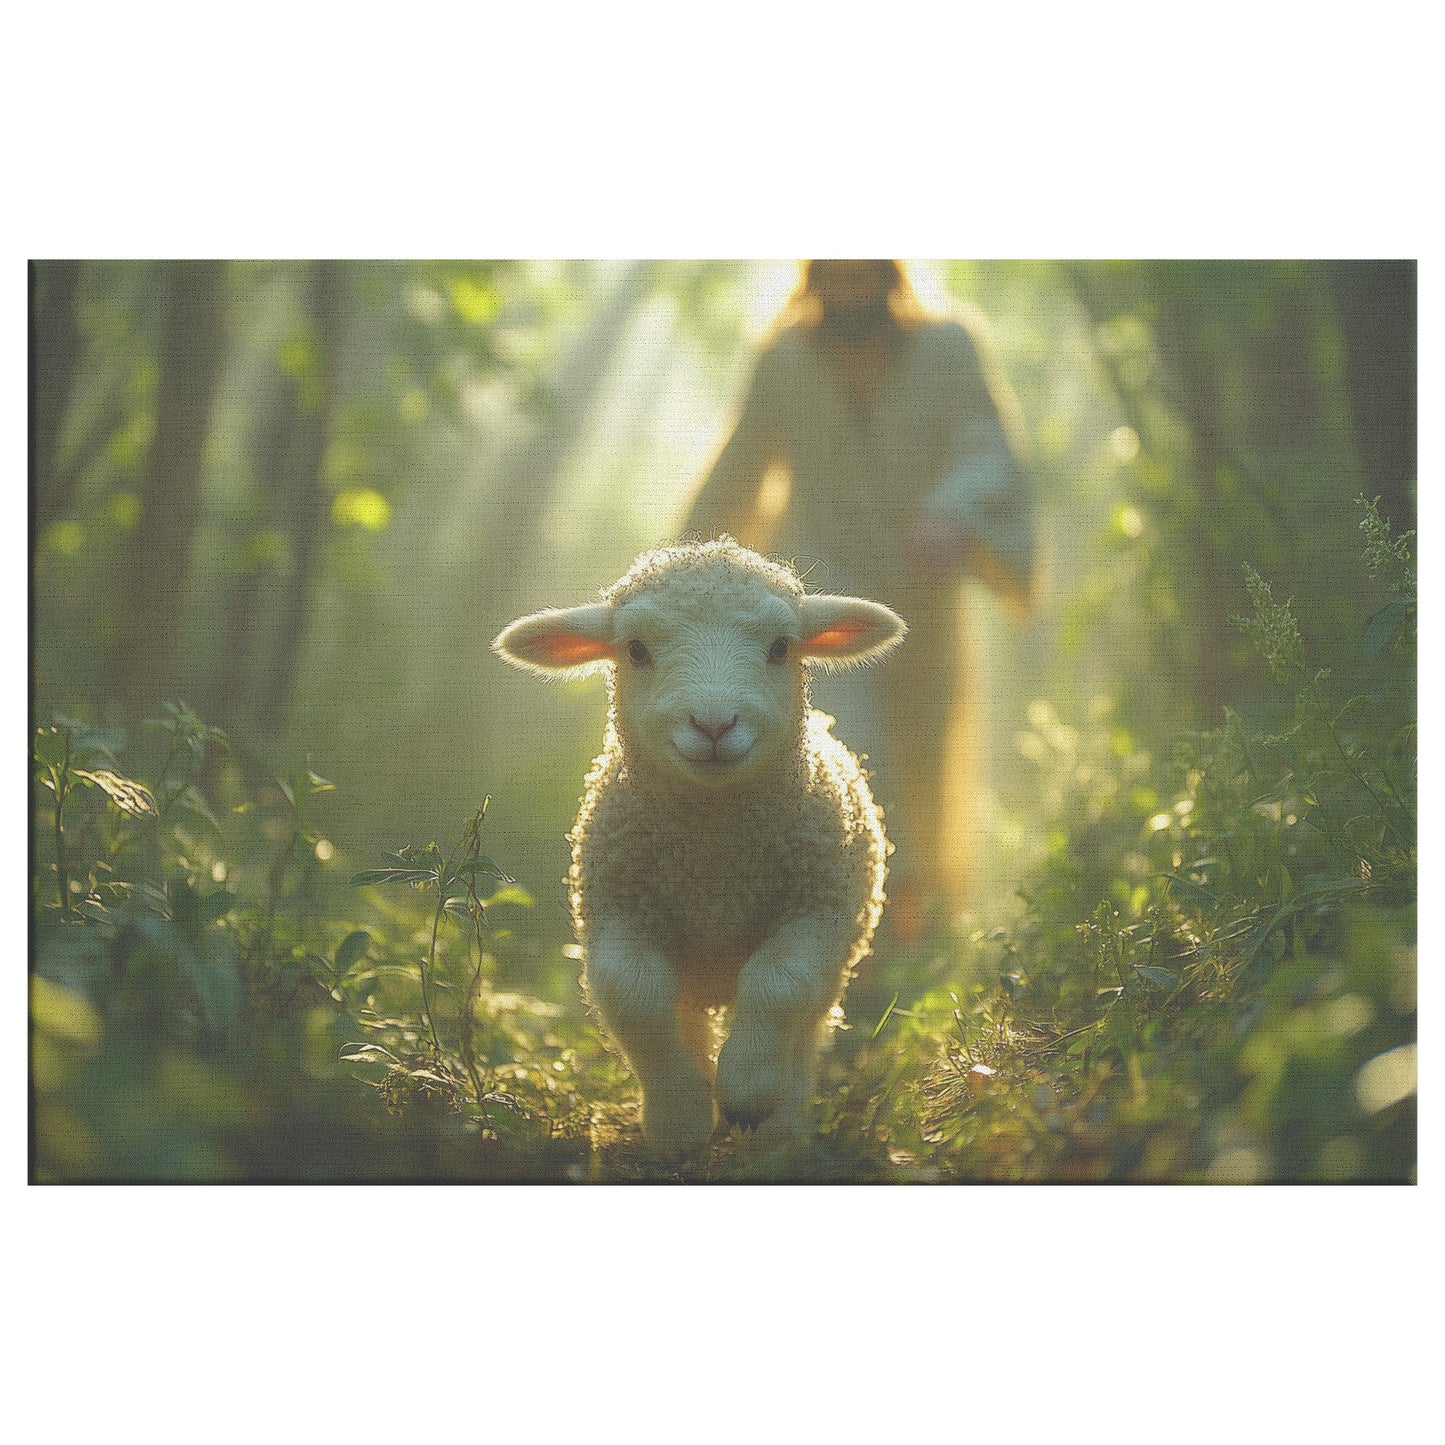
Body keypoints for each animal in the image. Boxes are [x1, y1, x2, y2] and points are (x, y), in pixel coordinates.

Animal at [492, 536, 906, 1160]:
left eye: (780, 647)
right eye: (636, 650)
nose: (714, 725)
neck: (714, 852)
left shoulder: (821, 907)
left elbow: (780, 983)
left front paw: (747, 1092)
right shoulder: (616, 909)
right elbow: (634, 997)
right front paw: (680, 1120)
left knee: (804, 1033)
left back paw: (778, 1138)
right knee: (683, 1016)